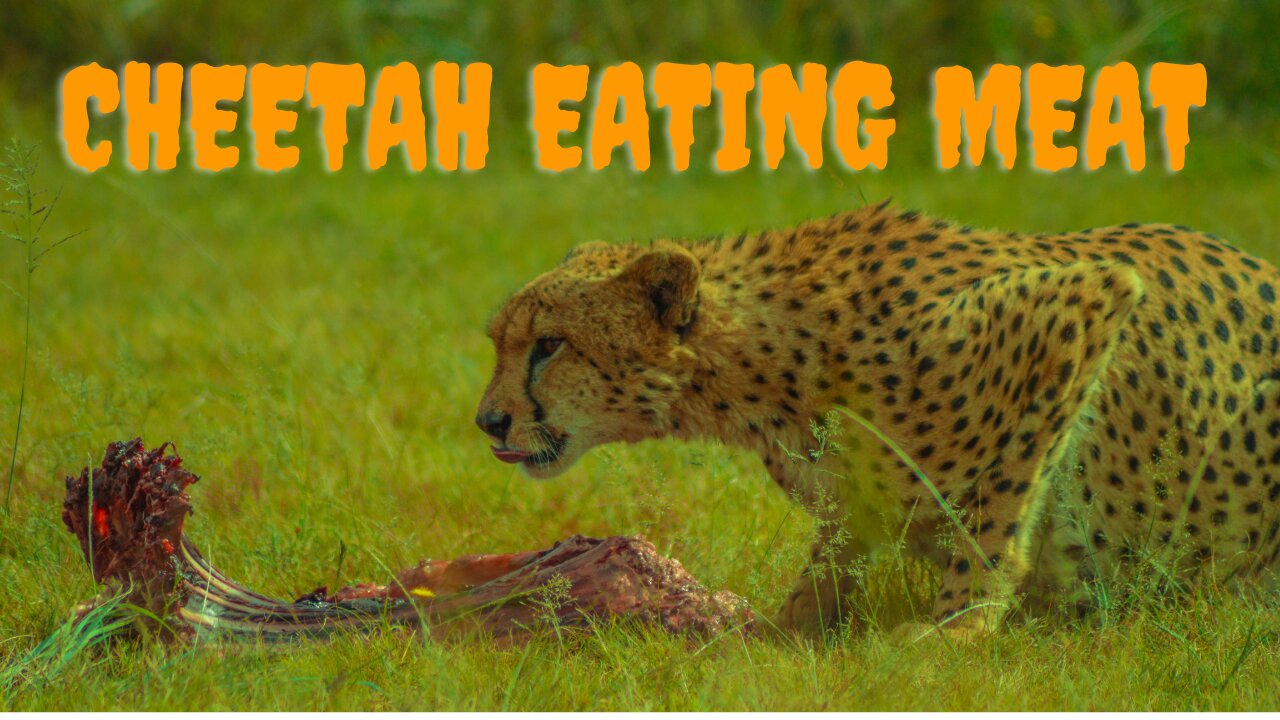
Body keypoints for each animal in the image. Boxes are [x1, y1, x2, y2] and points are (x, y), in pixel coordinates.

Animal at [475, 200, 1280, 641]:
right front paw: (775, 635)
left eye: (549, 346)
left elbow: (998, 509)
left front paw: (959, 629)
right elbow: (836, 552)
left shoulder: (1075, 305)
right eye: (500, 341)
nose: (488, 422)